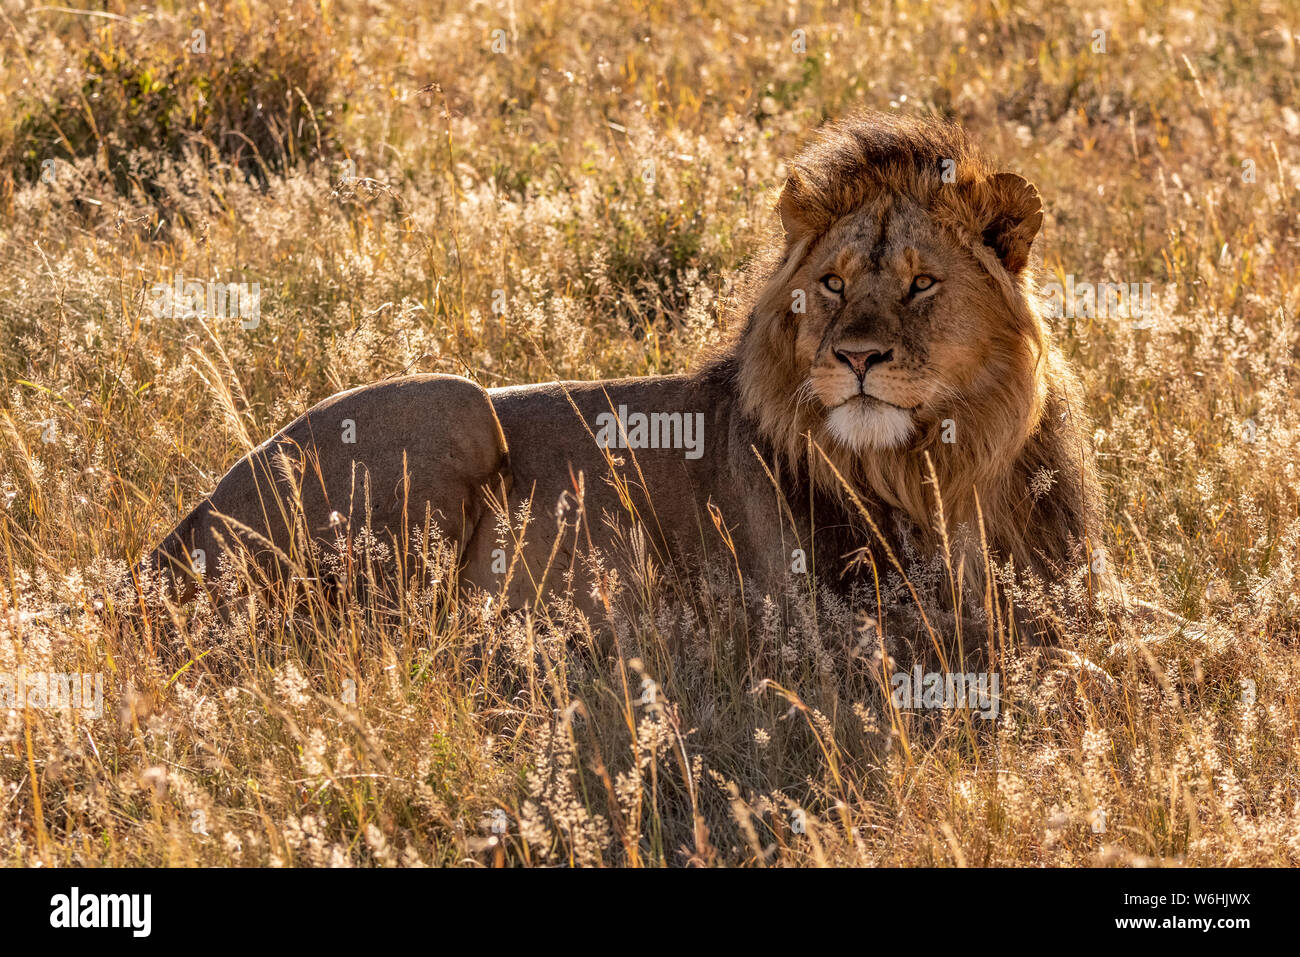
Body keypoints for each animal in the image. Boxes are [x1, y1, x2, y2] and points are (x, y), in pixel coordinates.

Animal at [137, 112, 1109, 645]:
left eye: (920, 283)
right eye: (832, 284)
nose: (856, 358)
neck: (930, 465)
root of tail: (163, 547)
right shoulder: (821, 624)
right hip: (453, 405)